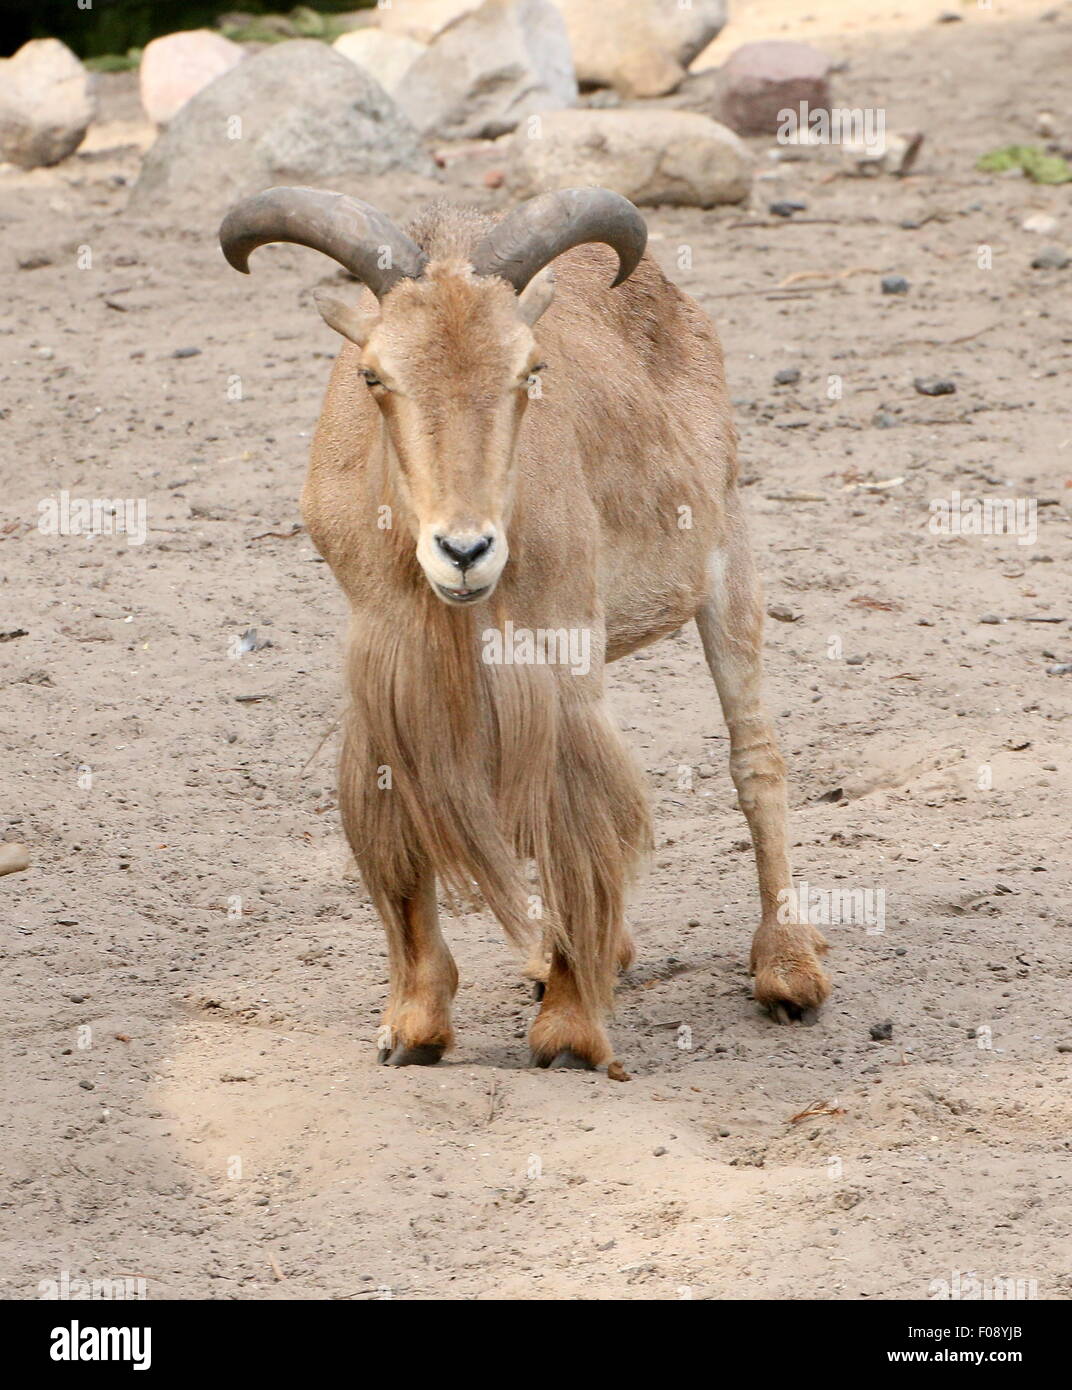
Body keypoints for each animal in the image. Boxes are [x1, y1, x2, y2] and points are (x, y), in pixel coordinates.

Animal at [219, 185, 831, 1069]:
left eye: (529, 371)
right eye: (374, 375)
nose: (465, 551)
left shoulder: (561, 653)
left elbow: (575, 810)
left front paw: (570, 1030)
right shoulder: (389, 658)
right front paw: (414, 1026)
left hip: (727, 555)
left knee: (757, 759)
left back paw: (787, 967)